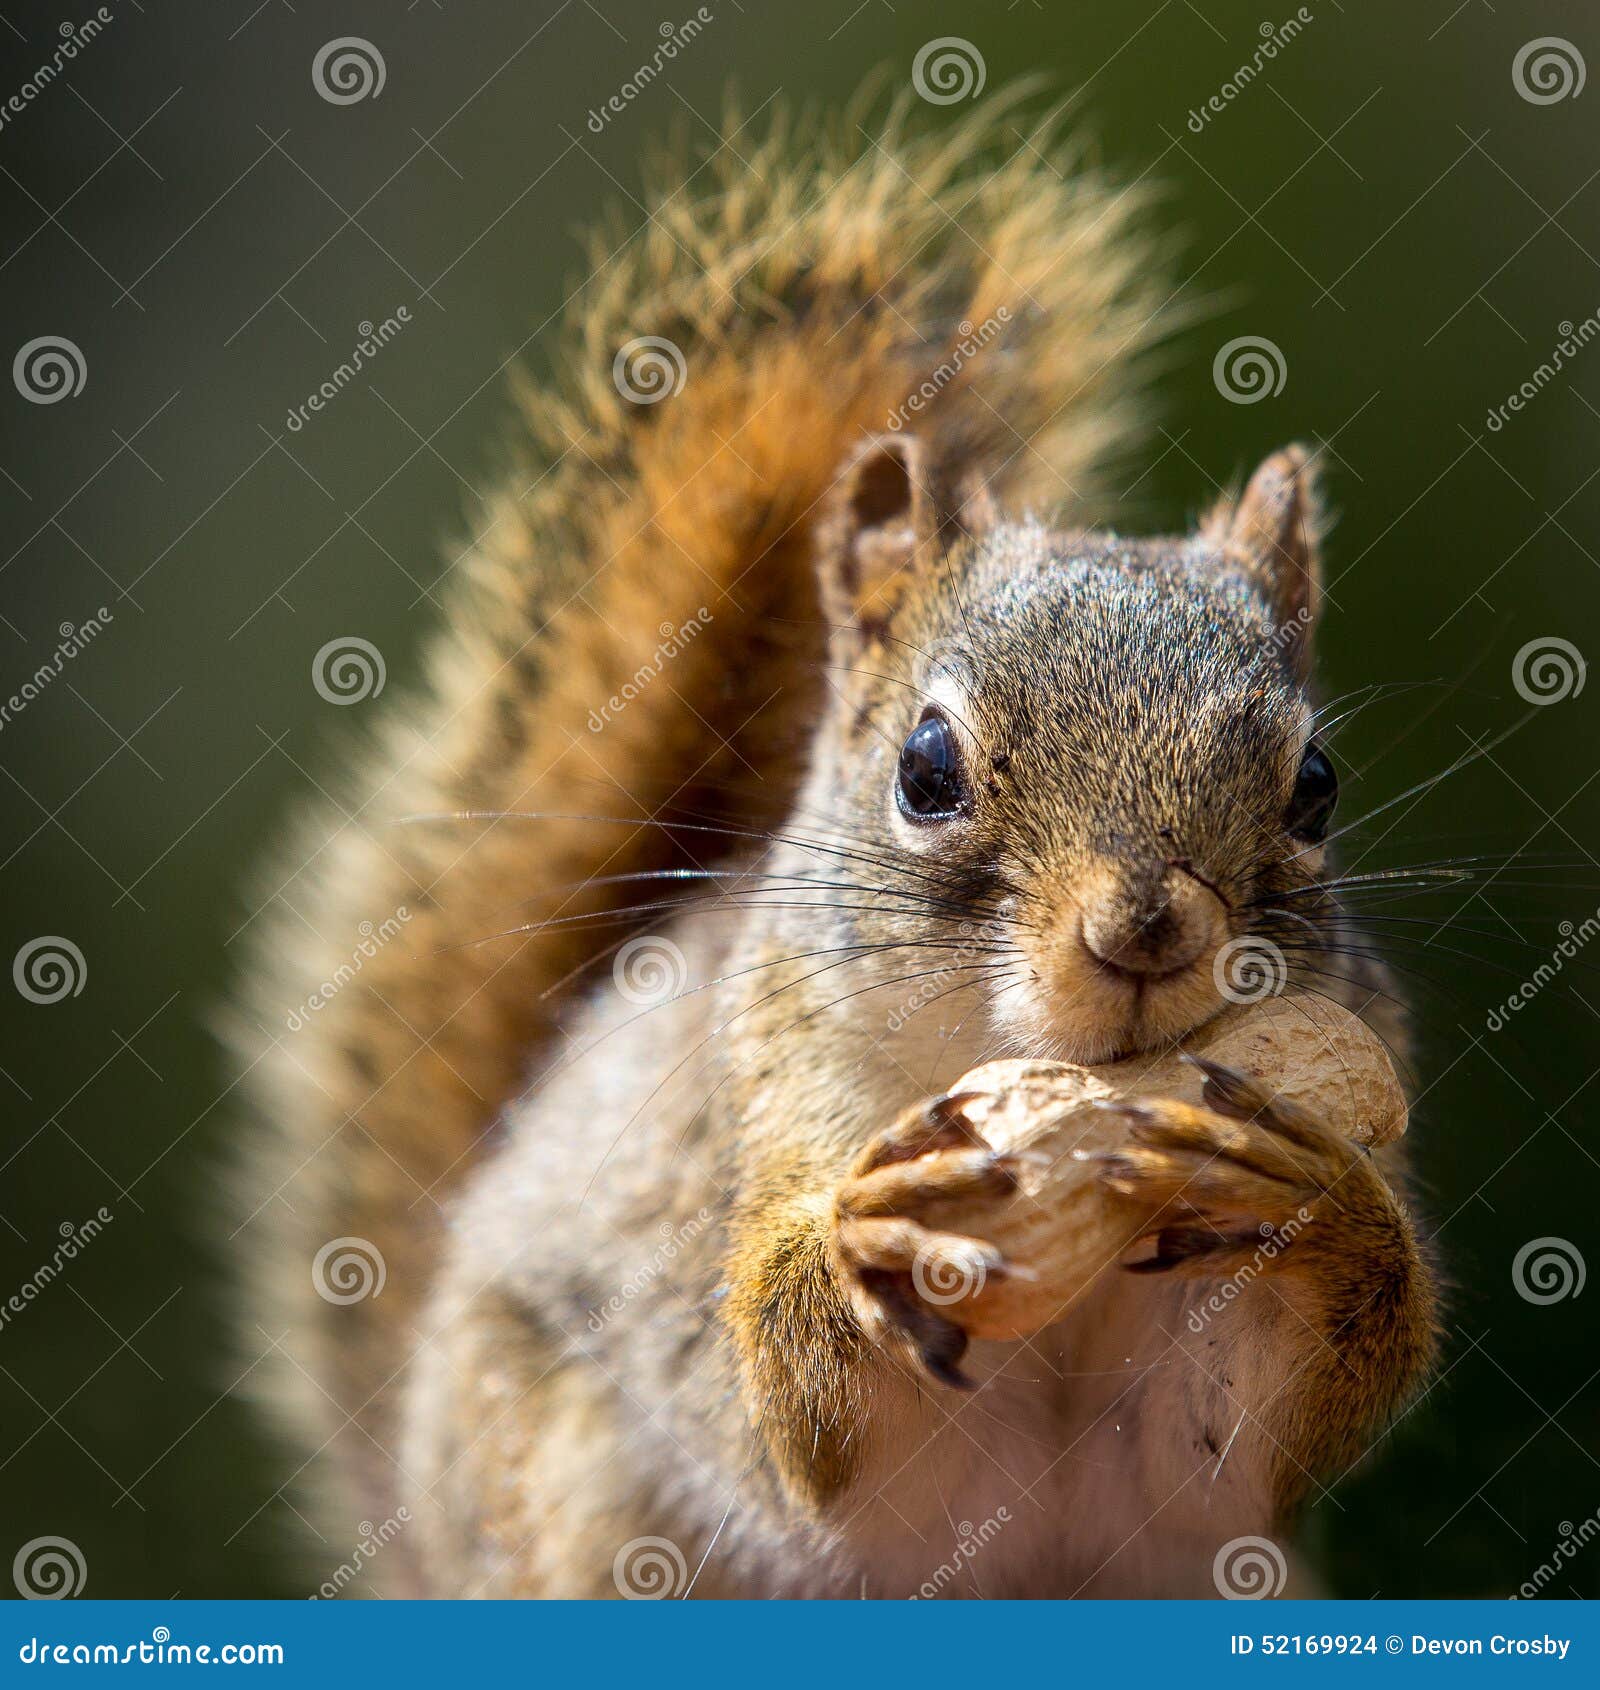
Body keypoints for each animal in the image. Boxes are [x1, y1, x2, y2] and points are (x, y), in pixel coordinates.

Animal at [228, 95, 1439, 1598]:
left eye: (1316, 784)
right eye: (925, 771)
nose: (1143, 930)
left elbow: (1250, 1414)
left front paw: (1314, 1201)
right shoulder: (765, 1099)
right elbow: (821, 1438)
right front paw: (875, 1239)